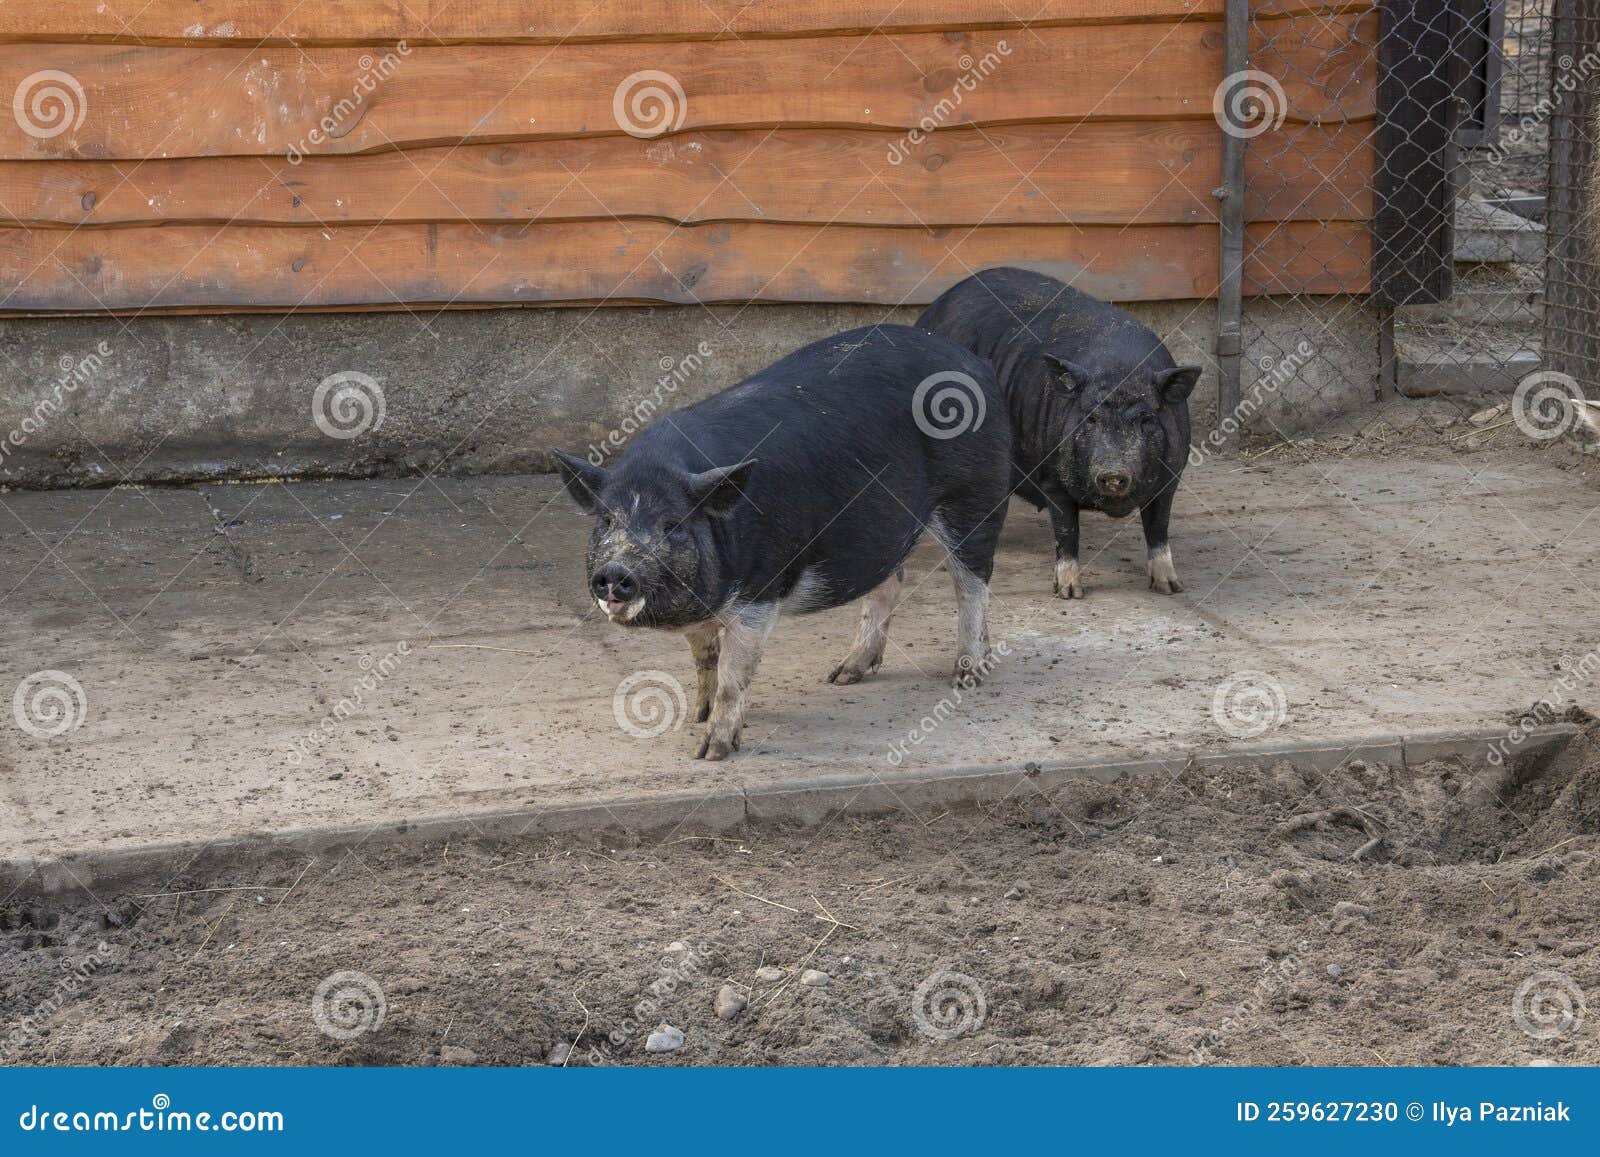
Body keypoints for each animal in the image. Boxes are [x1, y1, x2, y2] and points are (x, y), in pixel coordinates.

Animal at [550, 325, 1013, 760]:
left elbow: (734, 675)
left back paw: (966, 676)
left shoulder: (761, 591)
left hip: (975, 498)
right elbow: (706, 657)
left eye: (673, 524)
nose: (615, 572)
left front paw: (711, 751)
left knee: (973, 585)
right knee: (890, 582)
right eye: (607, 519)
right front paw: (697, 714)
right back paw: (842, 676)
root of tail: (975, 363)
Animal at [917, 267, 1201, 600]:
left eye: (1146, 418)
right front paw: (1069, 593)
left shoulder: (1171, 478)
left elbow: (1158, 529)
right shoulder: (1052, 479)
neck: (1120, 371)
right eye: (1090, 418)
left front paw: (1170, 588)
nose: (1113, 473)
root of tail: (932, 310)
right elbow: (1067, 532)